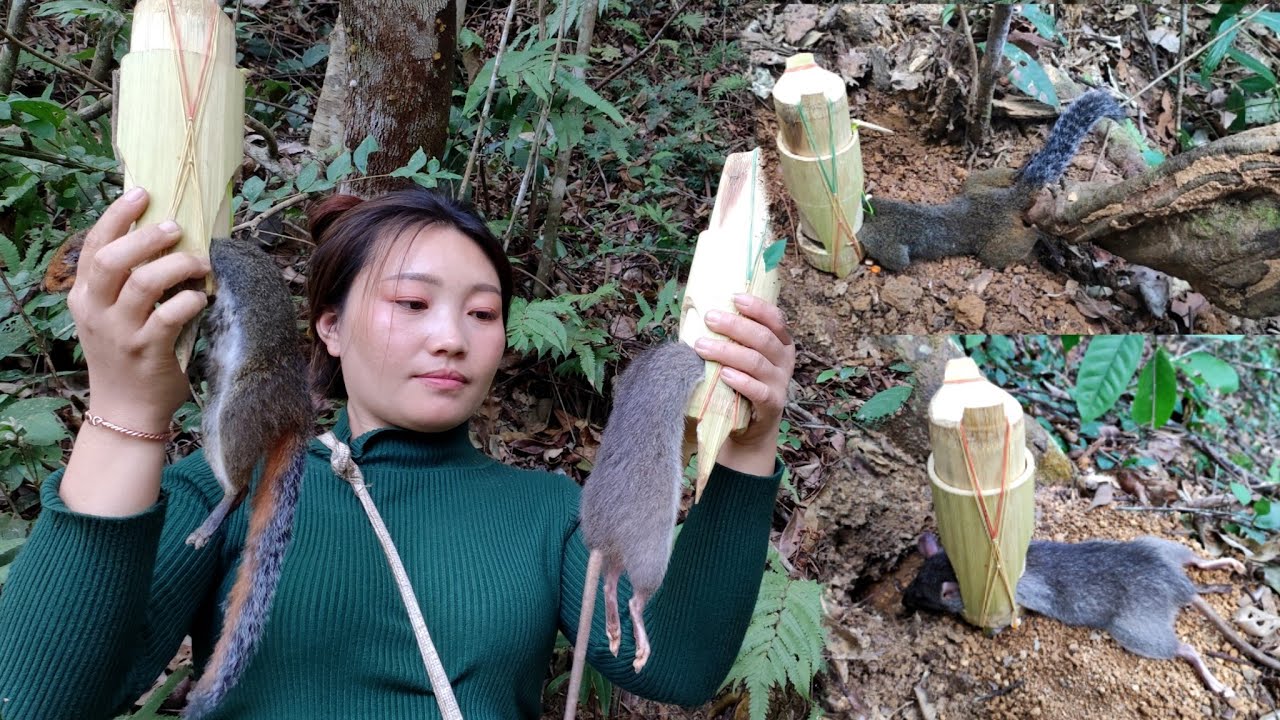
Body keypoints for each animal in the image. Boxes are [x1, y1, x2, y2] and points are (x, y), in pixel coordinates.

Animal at [858, 89, 1126, 271]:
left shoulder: (885, 243)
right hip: (975, 186)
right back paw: (1020, 171)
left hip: (997, 245)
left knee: (1021, 240)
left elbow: (900, 262)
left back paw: (1042, 235)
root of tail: (1011, 199)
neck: (873, 211)